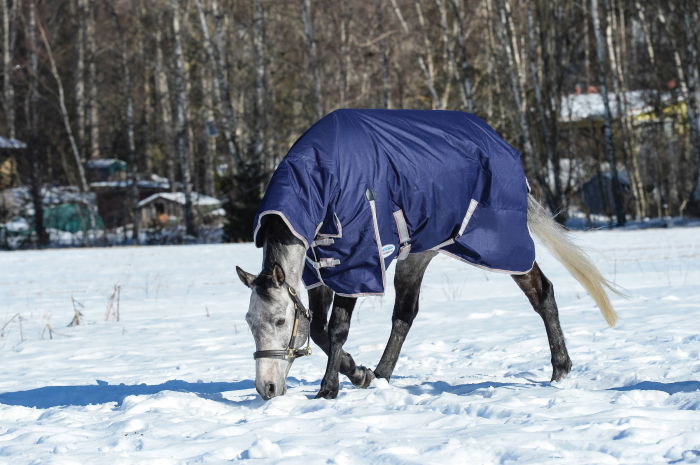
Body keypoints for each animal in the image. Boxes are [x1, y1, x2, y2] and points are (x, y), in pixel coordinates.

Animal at [236, 109, 618, 400]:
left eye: (280, 322)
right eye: (250, 322)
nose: (267, 388)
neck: (321, 179)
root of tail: (504, 148)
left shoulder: (360, 261)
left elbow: (337, 330)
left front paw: (329, 389)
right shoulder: (320, 268)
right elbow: (317, 329)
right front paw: (358, 373)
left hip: (500, 246)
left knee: (542, 292)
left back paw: (560, 369)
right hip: (418, 255)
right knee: (405, 315)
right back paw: (380, 374)